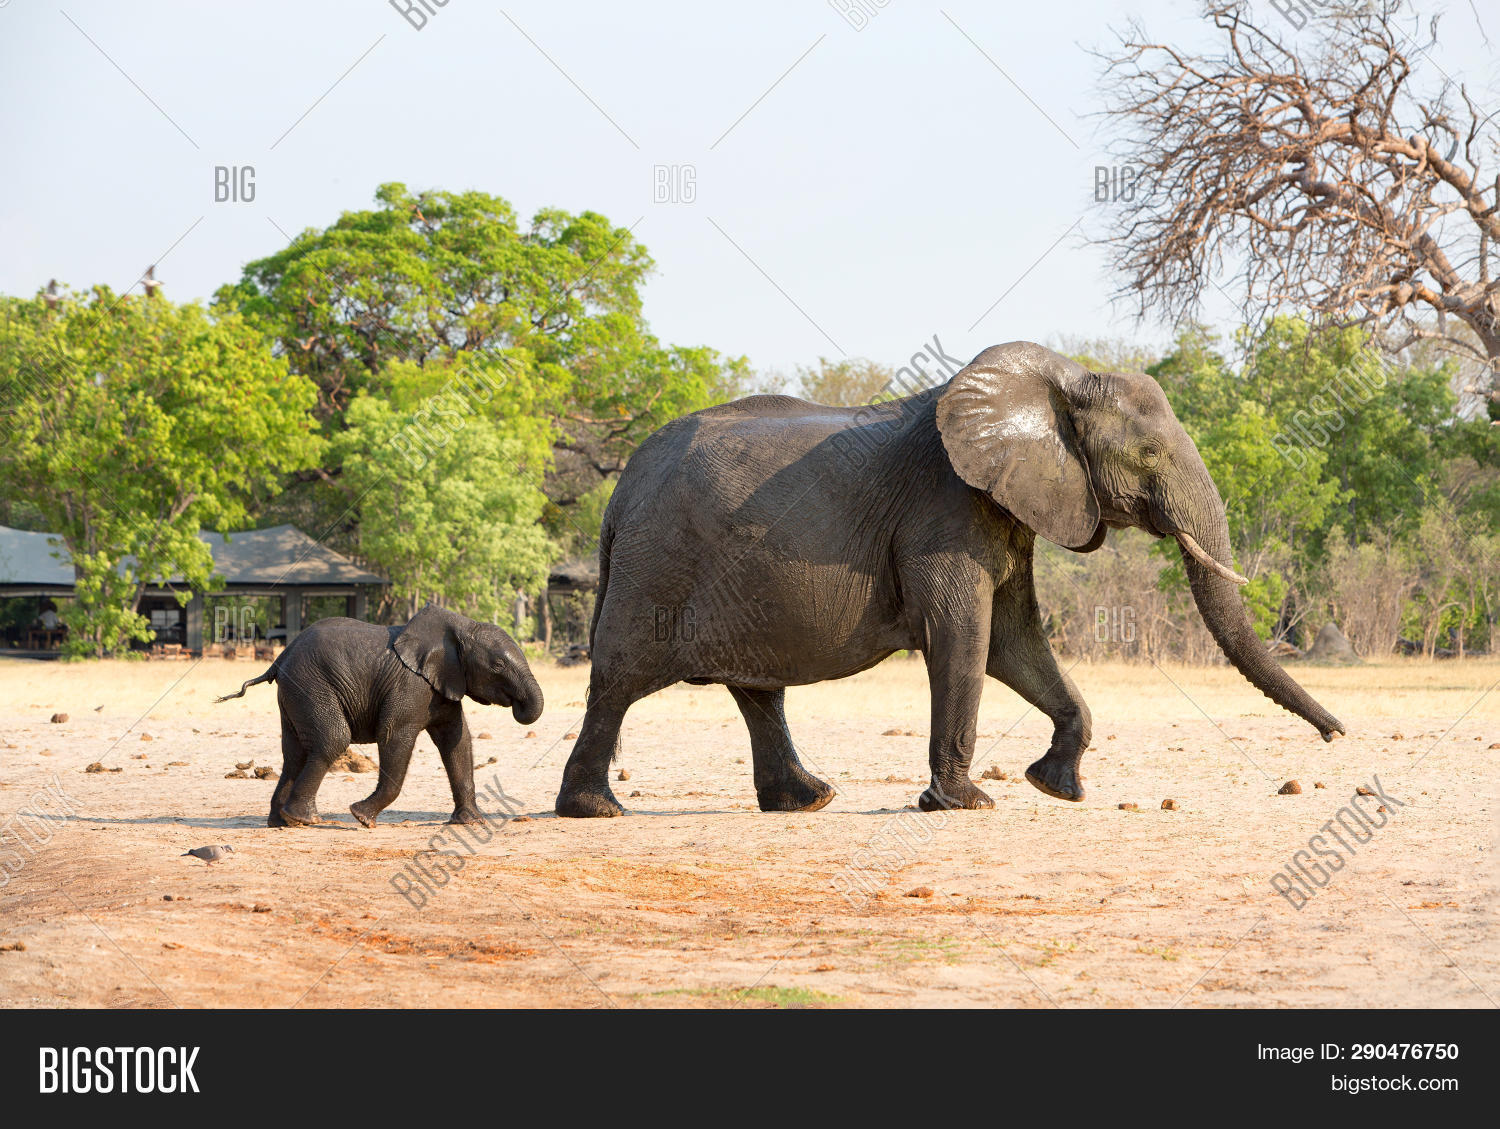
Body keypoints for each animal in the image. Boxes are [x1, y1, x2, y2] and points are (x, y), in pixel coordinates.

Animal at [216, 605, 543, 828]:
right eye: (498, 665)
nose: (517, 705)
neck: (462, 626)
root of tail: (280, 658)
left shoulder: (441, 685)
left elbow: (457, 741)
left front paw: (471, 822)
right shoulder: (411, 684)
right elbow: (395, 735)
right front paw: (361, 818)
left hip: (295, 692)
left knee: (295, 752)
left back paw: (282, 822)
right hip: (310, 684)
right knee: (333, 740)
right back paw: (307, 820)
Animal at [555, 341, 1342, 818]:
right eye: (1149, 453)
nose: (1337, 735)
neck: (1059, 377)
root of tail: (619, 494)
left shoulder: (1007, 506)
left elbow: (1016, 642)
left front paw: (1056, 789)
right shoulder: (946, 508)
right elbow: (966, 636)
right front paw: (967, 804)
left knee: (757, 691)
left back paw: (808, 799)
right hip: (658, 564)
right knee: (619, 679)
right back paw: (596, 810)